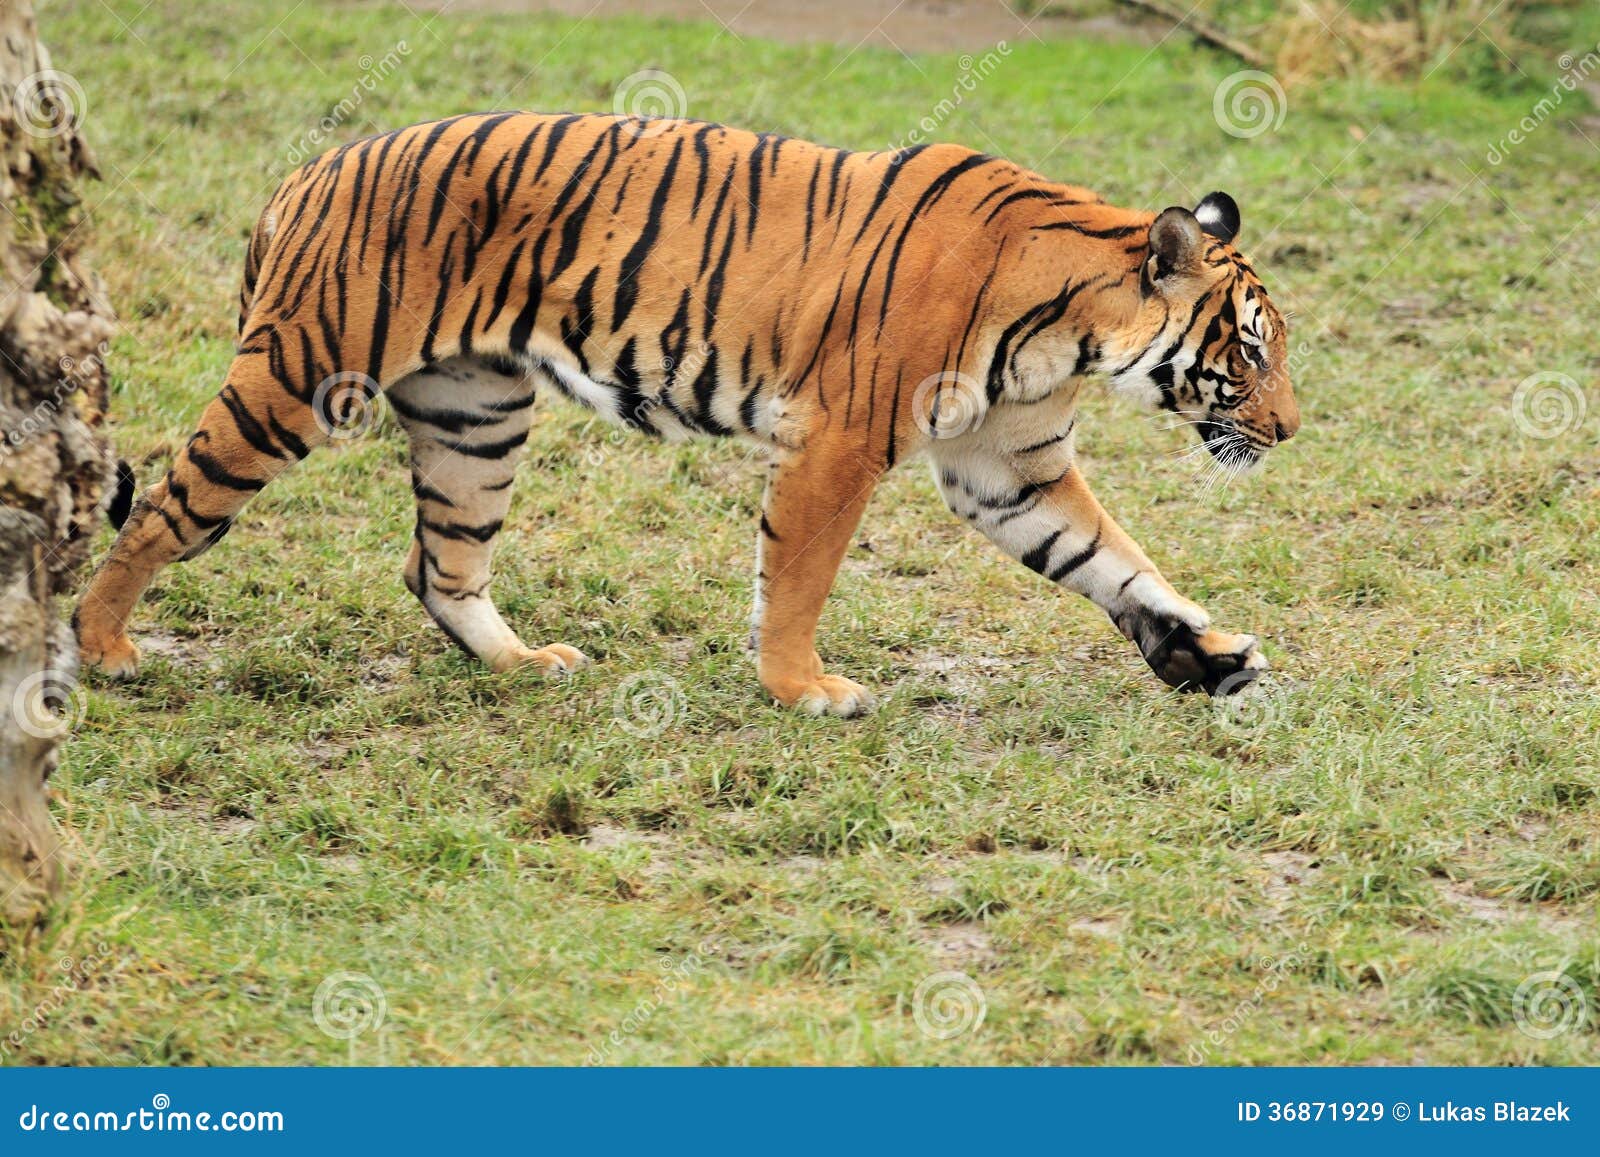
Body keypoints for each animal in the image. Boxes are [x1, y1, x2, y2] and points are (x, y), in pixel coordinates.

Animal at [76, 112, 1300, 716]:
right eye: (1247, 351)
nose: (1289, 431)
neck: (1071, 327)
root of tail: (311, 169)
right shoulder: (841, 439)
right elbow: (797, 578)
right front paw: (805, 690)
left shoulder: (1012, 466)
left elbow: (1117, 561)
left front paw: (1207, 654)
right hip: (297, 381)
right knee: (160, 510)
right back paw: (104, 650)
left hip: (477, 415)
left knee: (440, 563)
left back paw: (524, 665)